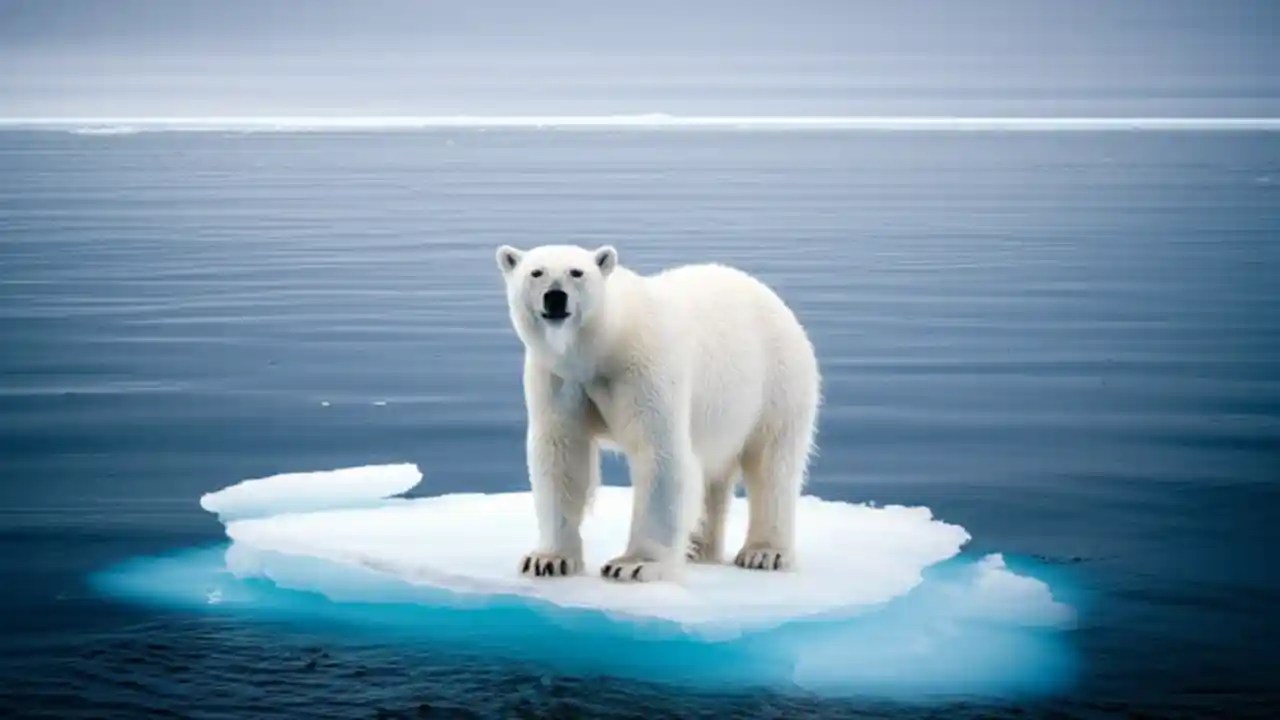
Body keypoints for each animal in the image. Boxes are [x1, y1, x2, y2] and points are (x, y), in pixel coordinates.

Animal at [496, 244, 820, 582]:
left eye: (577, 272)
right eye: (536, 272)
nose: (555, 297)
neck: (605, 343)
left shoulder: (645, 367)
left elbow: (660, 453)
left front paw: (633, 564)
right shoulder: (558, 379)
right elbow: (561, 456)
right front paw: (547, 560)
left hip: (776, 380)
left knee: (772, 463)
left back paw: (764, 552)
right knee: (714, 472)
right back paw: (696, 549)